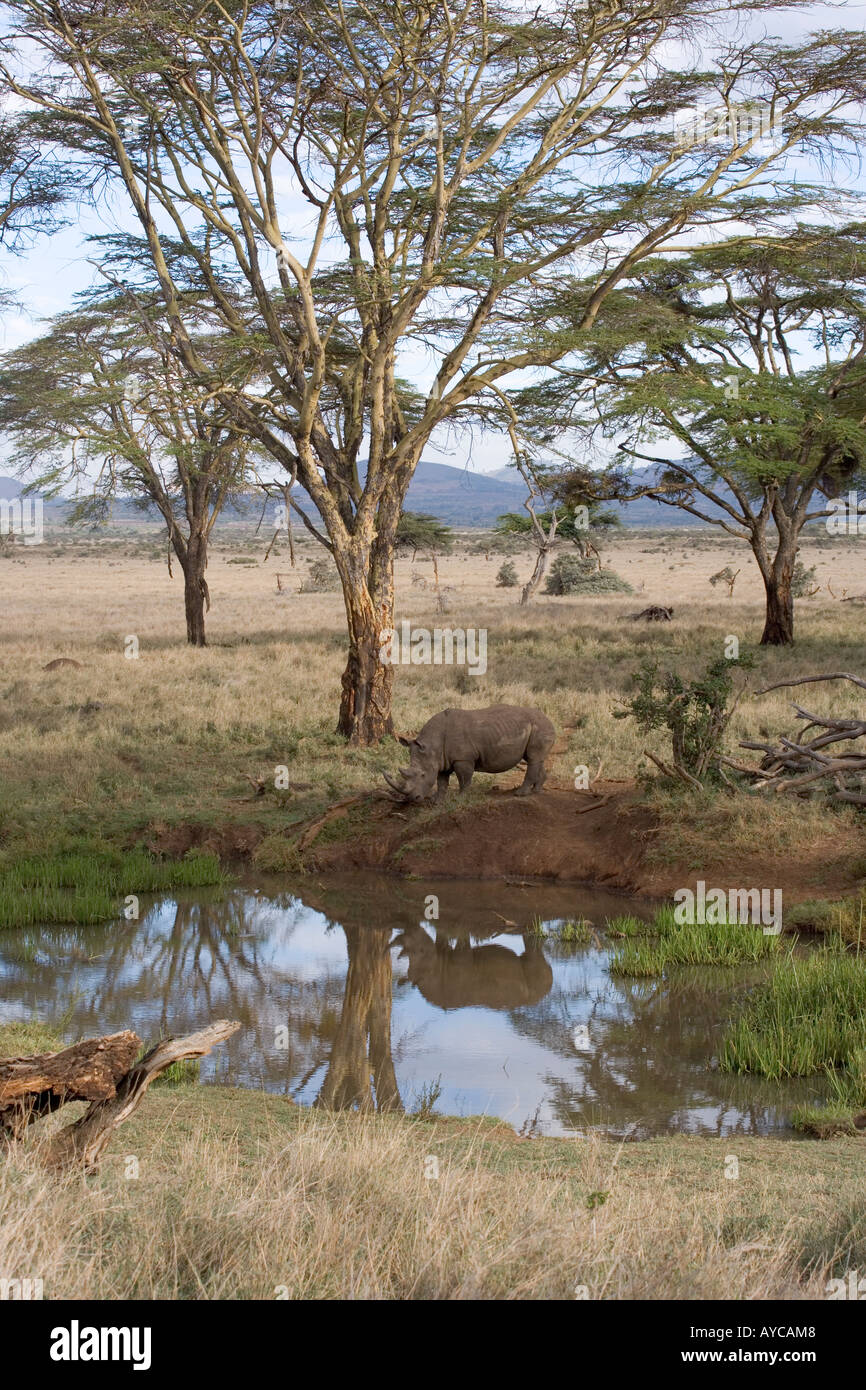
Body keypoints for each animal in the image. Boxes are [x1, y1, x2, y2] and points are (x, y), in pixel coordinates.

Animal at [383, 703, 555, 802]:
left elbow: (464, 780)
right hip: (534, 727)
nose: (413, 799)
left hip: (539, 726)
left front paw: (461, 799)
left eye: (422, 775)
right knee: (535, 758)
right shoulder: (442, 760)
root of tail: (549, 719)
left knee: (533, 758)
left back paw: (520, 794)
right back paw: (536, 790)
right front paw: (437, 802)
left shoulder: (463, 759)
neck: (432, 745)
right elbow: (442, 781)